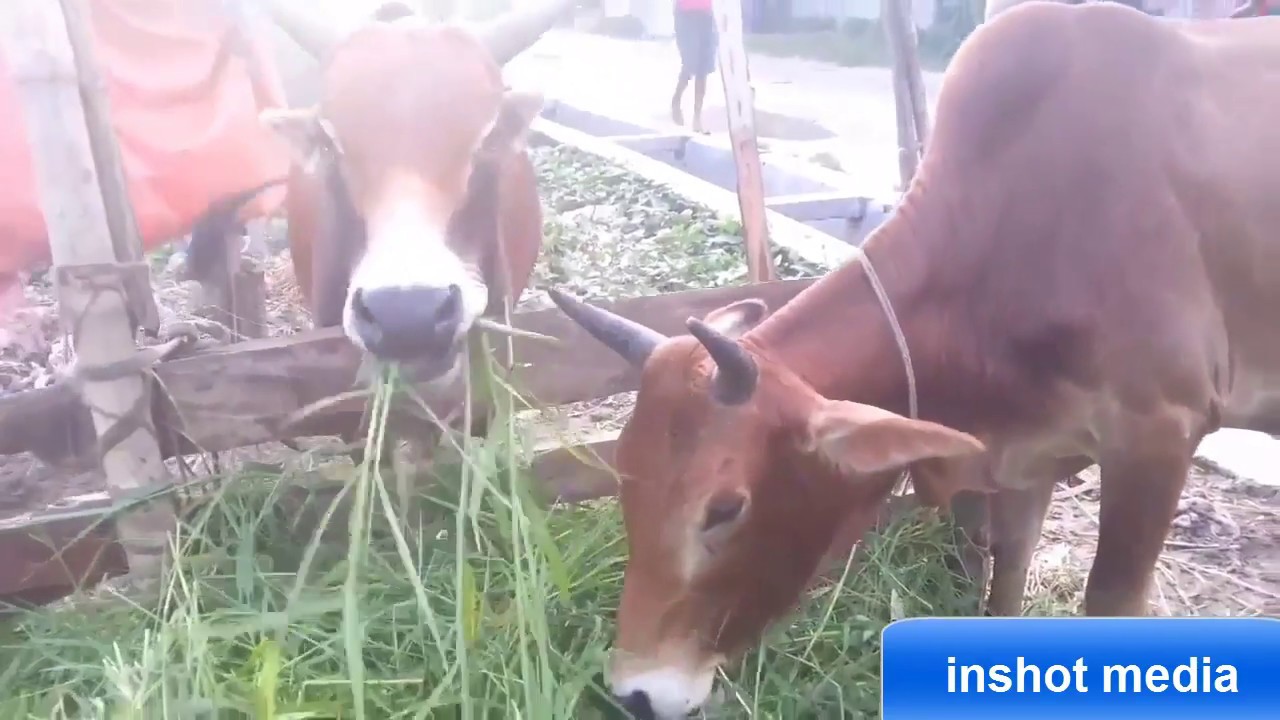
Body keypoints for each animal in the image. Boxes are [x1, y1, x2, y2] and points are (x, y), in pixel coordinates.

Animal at [548, 4, 1280, 718]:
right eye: (626, 474)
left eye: (724, 508)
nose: (637, 694)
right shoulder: (1029, 455)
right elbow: (1004, 583)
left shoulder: (1157, 434)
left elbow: (1109, 604)